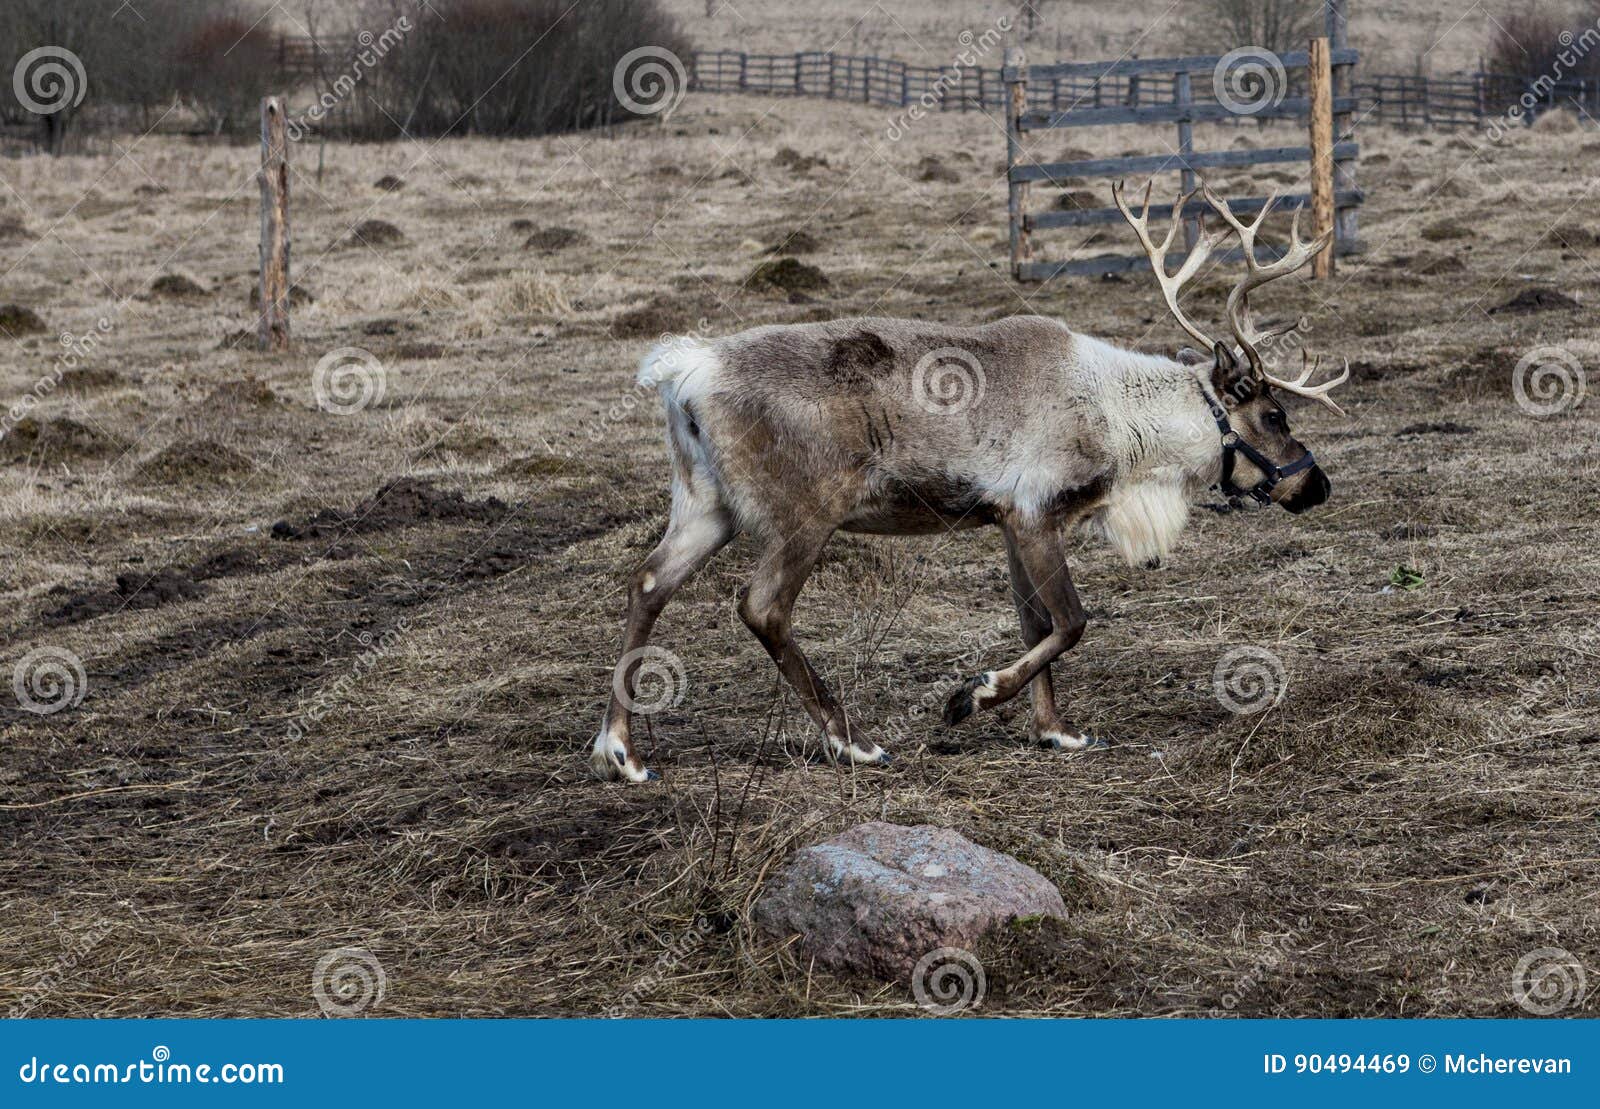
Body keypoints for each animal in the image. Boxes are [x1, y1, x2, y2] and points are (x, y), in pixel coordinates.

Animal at [592, 181, 1350, 782]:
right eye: (1274, 413)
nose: (1316, 486)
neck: (1119, 417)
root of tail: (686, 371)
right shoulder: (1037, 510)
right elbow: (1072, 620)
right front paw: (972, 696)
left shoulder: (1010, 519)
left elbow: (1035, 620)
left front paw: (1055, 731)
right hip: (804, 512)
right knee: (762, 607)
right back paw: (853, 741)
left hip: (705, 504)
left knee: (648, 582)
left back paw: (620, 751)